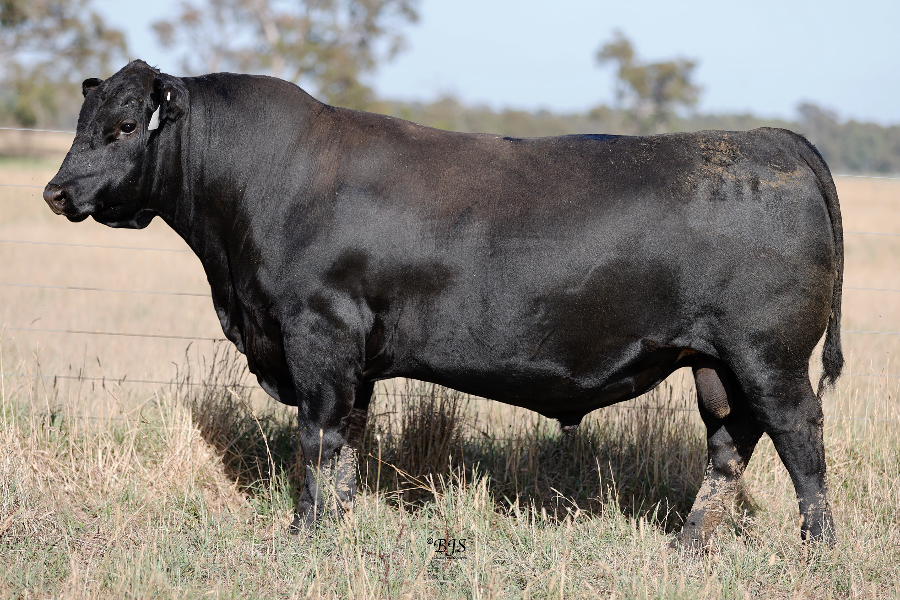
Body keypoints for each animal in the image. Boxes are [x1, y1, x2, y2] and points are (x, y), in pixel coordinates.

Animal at [44, 60, 843, 547]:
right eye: (84, 122)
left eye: (123, 127)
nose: (56, 191)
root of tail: (772, 140)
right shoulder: (352, 361)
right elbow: (346, 447)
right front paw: (338, 527)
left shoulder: (317, 336)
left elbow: (316, 439)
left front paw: (305, 536)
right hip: (717, 363)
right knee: (731, 444)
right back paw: (686, 546)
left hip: (769, 357)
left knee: (799, 440)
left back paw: (816, 548)